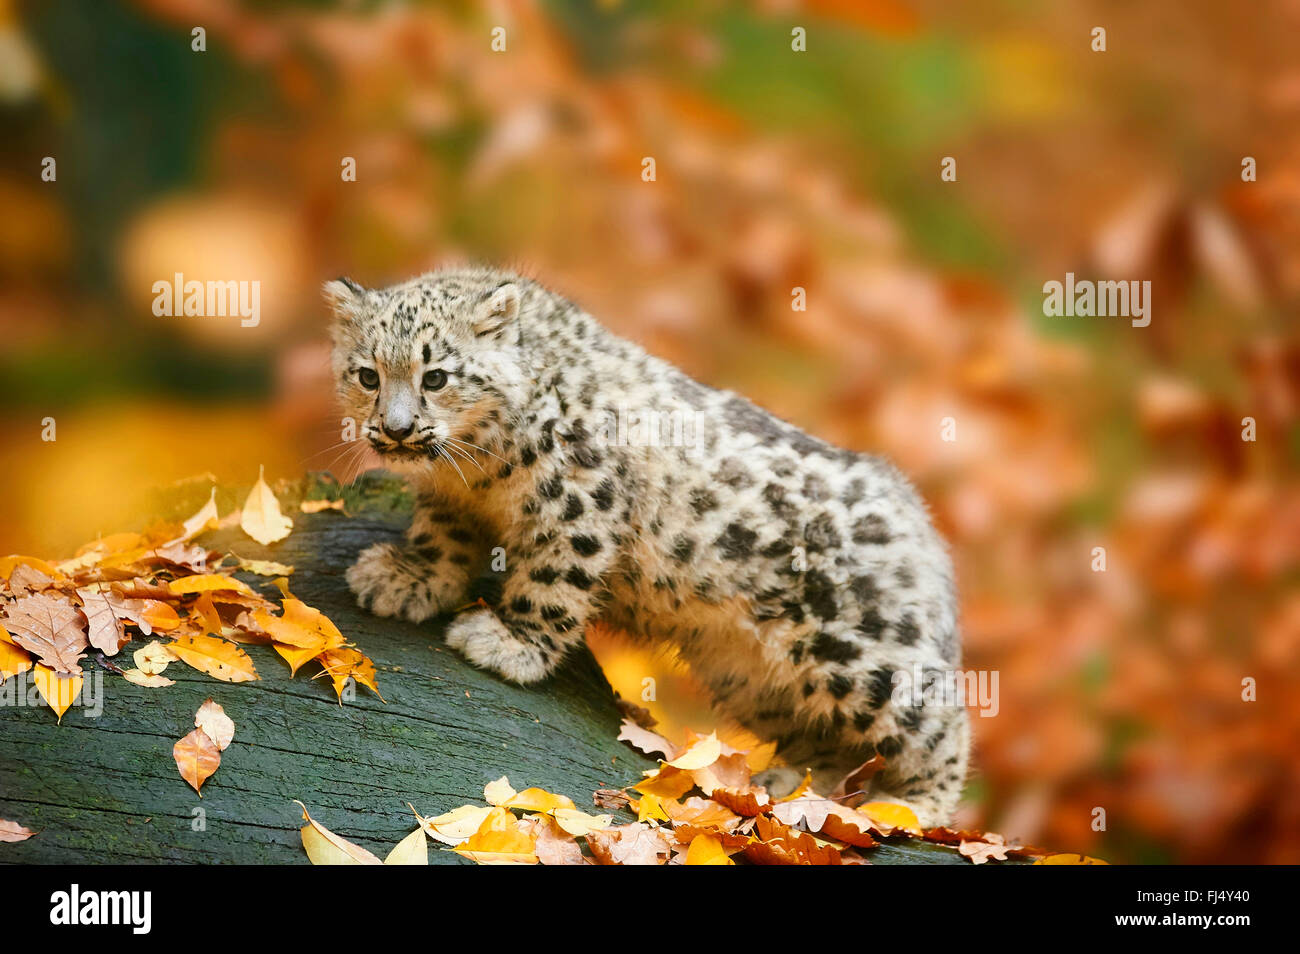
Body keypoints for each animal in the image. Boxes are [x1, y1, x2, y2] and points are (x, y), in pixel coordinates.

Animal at [325, 265, 970, 825]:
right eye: (367, 375)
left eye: (436, 376)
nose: (396, 429)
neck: (479, 471)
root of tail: (921, 523)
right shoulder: (454, 503)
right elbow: (442, 541)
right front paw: (406, 577)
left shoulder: (579, 502)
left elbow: (552, 583)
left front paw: (510, 644)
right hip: (754, 679)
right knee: (827, 739)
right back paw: (788, 788)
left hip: (861, 656)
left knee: (941, 720)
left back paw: (911, 806)